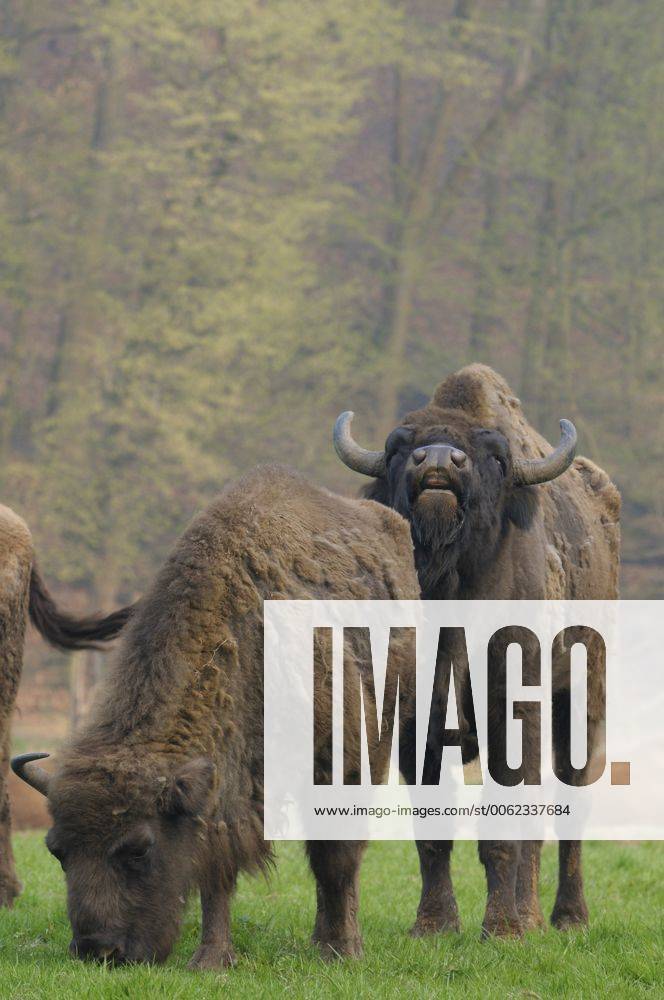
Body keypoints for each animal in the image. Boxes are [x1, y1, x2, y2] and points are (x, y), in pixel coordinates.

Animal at [334, 363, 620, 937]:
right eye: (400, 446)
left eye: (494, 456)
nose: (439, 462)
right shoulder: (414, 723)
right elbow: (433, 828)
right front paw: (434, 924)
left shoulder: (512, 715)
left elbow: (503, 828)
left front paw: (504, 928)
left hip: (582, 701)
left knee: (568, 808)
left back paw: (560, 917)